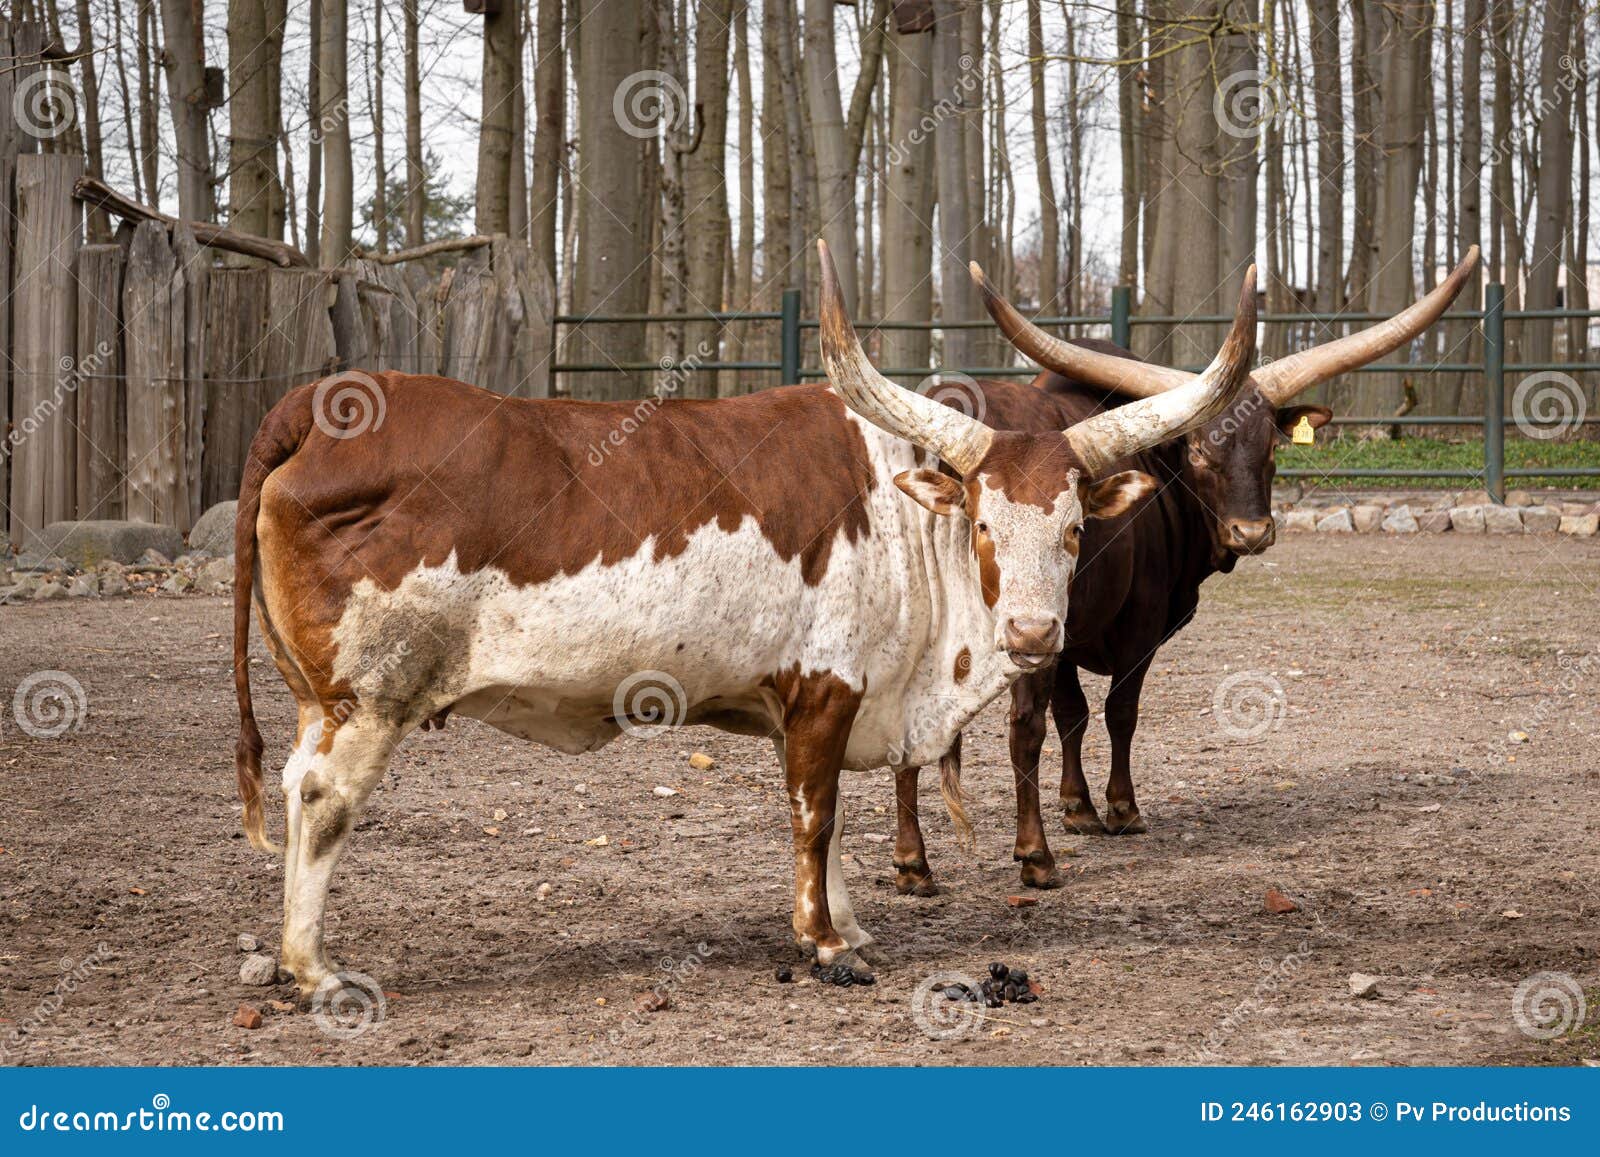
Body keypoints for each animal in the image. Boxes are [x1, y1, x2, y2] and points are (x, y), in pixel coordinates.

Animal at [229, 240, 1258, 998]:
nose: (1038, 636)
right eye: (981, 521)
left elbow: (830, 819)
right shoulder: (825, 689)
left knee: (292, 783)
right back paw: (314, 967)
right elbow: (815, 813)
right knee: (320, 799)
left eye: (1078, 526)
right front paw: (825, 942)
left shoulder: (821, 701)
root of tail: (325, 405)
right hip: (367, 698)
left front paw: (849, 922)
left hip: (320, 698)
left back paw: (282, 957)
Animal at [890, 249, 1480, 895]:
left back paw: (913, 864)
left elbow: (1076, 715)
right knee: (1023, 728)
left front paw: (1079, 807)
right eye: (1197, 448)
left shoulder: (1066, 629)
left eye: (1272, 446)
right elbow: (1118, 712)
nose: (1251, 531)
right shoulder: (1131, 625)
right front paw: (1121, 808)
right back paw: (1033, 857)